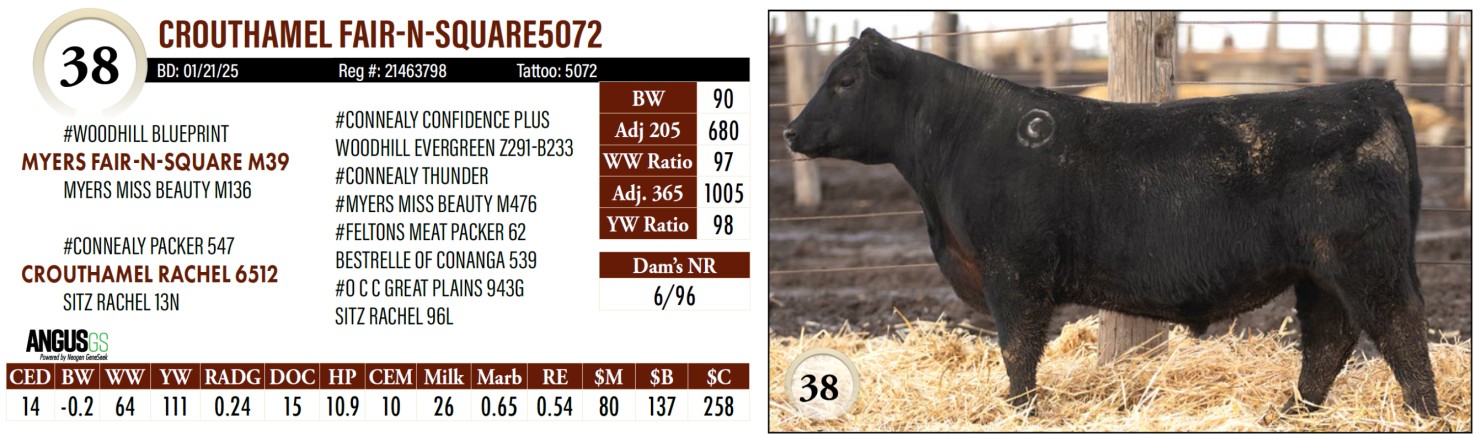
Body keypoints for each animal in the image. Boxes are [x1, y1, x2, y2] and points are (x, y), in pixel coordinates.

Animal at [784, 28, 1438, 416]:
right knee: (1330, 338)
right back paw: (1291, 414)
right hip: (1318, 271)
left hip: (1364, 260)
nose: (789, 131)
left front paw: (1020, 410)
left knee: (1400, 328)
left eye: (845, 81)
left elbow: (1017, 348)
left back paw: (1423, 414)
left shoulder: (1014, 270)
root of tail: (1371, 90)